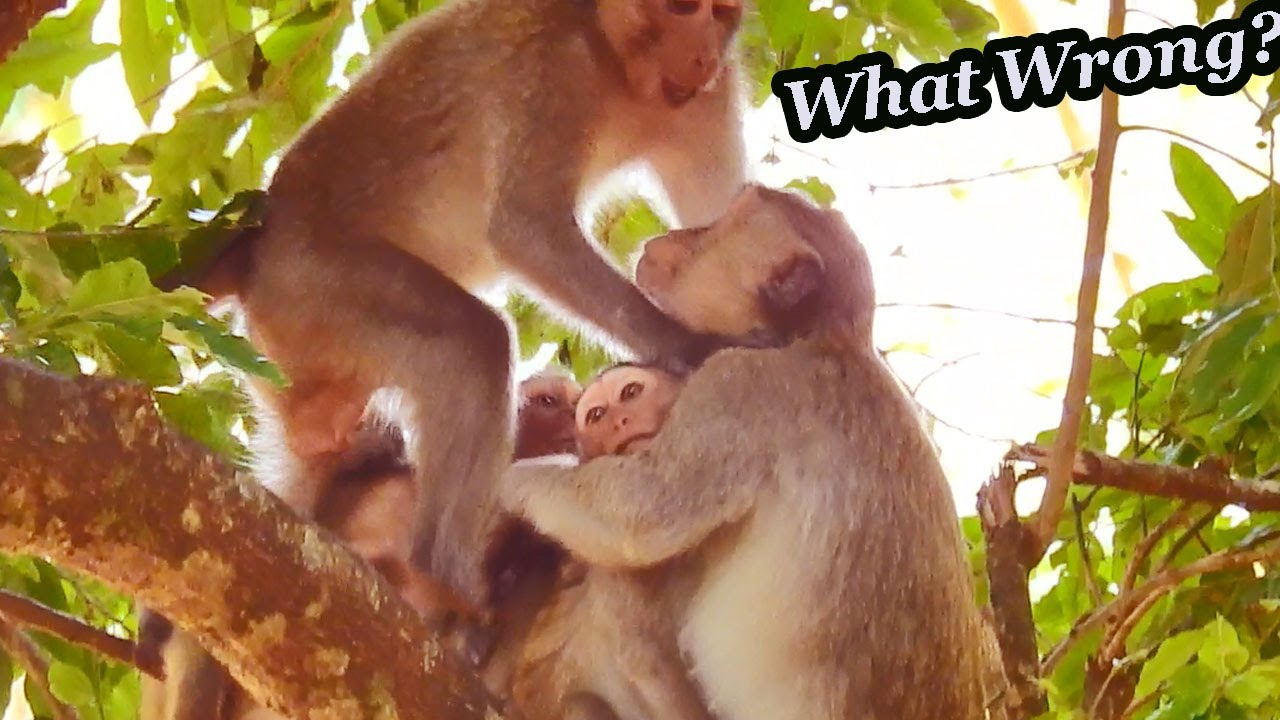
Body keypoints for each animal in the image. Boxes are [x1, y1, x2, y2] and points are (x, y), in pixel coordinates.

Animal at [171, 0, 752, 626]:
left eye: (720, 12)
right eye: (680, 8)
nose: (702, 55)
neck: (616, 66)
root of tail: (258, 245)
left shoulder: (708, 98)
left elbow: (725, 217)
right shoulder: (555, 71)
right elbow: (526, 230)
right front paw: (685, 345)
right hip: (315, 287)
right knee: (470, 344)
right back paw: (441, 583)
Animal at [498, 184, 989, 720]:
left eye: (726, 220)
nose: (670, 237)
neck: (822, 338)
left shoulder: (737, 389)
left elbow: (636, 515)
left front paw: (505, 480)